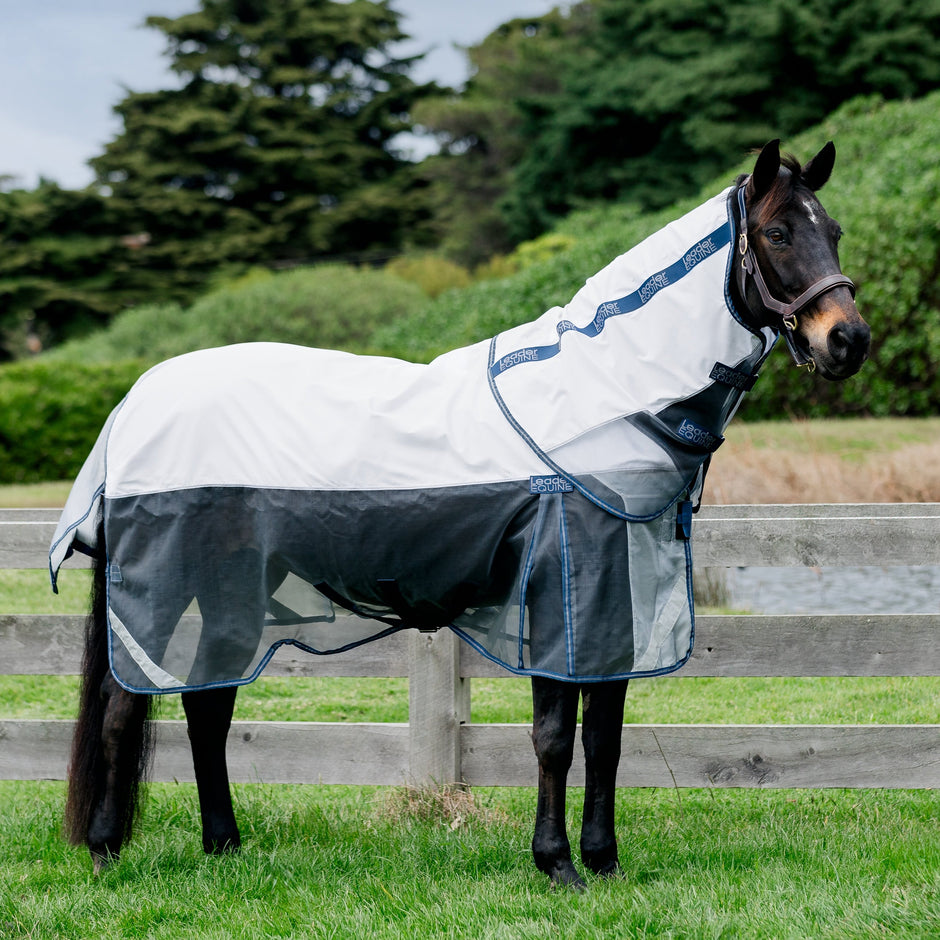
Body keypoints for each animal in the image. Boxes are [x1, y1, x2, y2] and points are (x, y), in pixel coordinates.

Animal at [50, 140, 869, 887]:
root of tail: (132, 404)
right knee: (123, 707)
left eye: (833, 231)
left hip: (232, 586)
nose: (847, 340)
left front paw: (602, 862)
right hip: (162, 586)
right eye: (776, 234)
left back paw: (224, 847)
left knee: (207, 707)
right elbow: (553, 737)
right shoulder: (559, 604)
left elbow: (605, 739)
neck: (604, 398)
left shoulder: (615, 607)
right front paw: (557, 865)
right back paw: (105, 855)